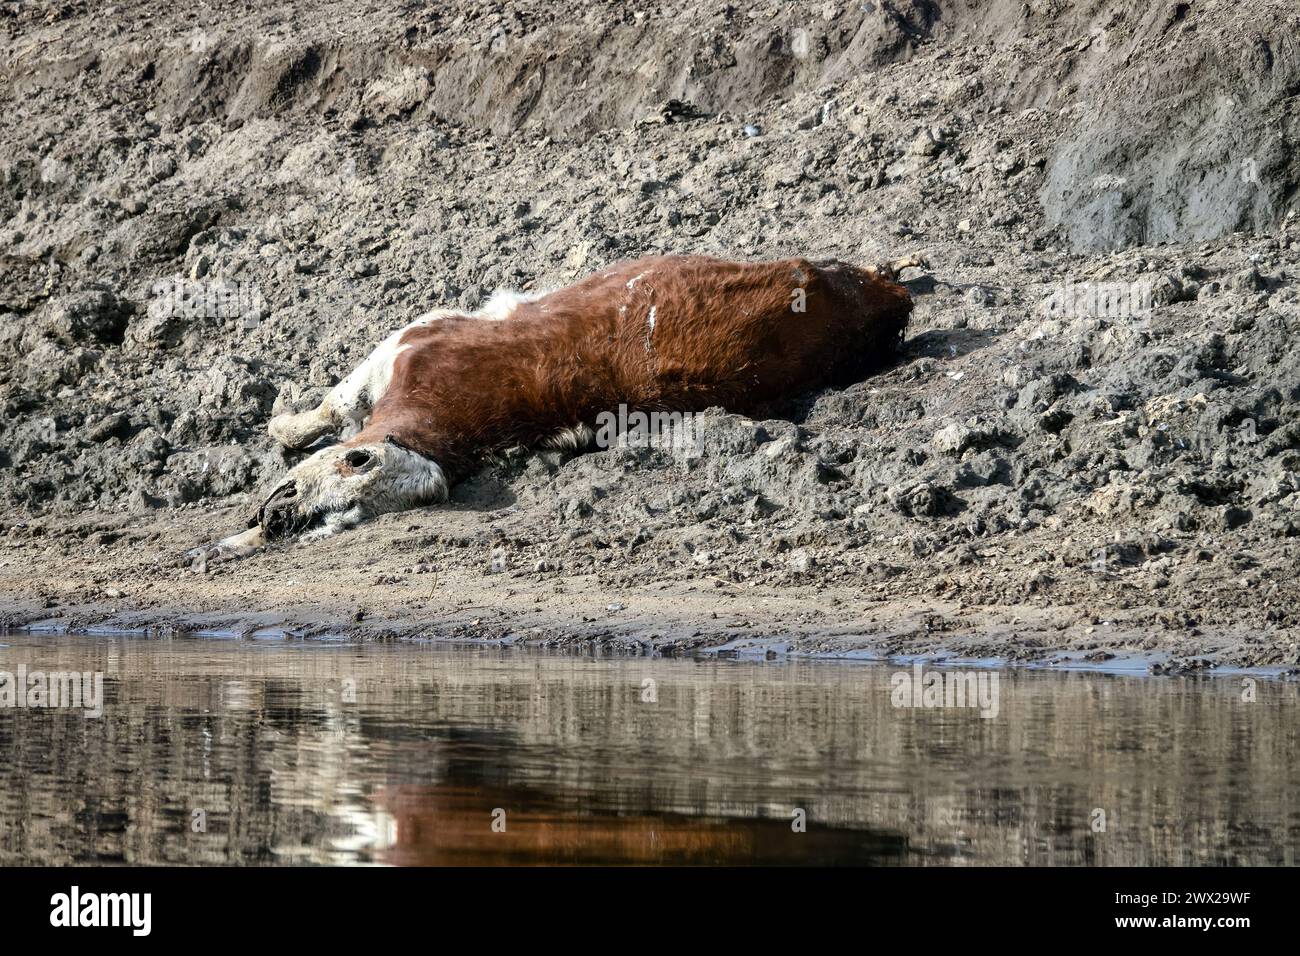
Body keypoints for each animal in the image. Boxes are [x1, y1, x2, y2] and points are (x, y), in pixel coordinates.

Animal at [186, 253, 922, 565]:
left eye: (339, 512)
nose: (280, 521)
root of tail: (882, 303)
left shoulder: (410, 341)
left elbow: (331, 401)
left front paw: (282, 427)